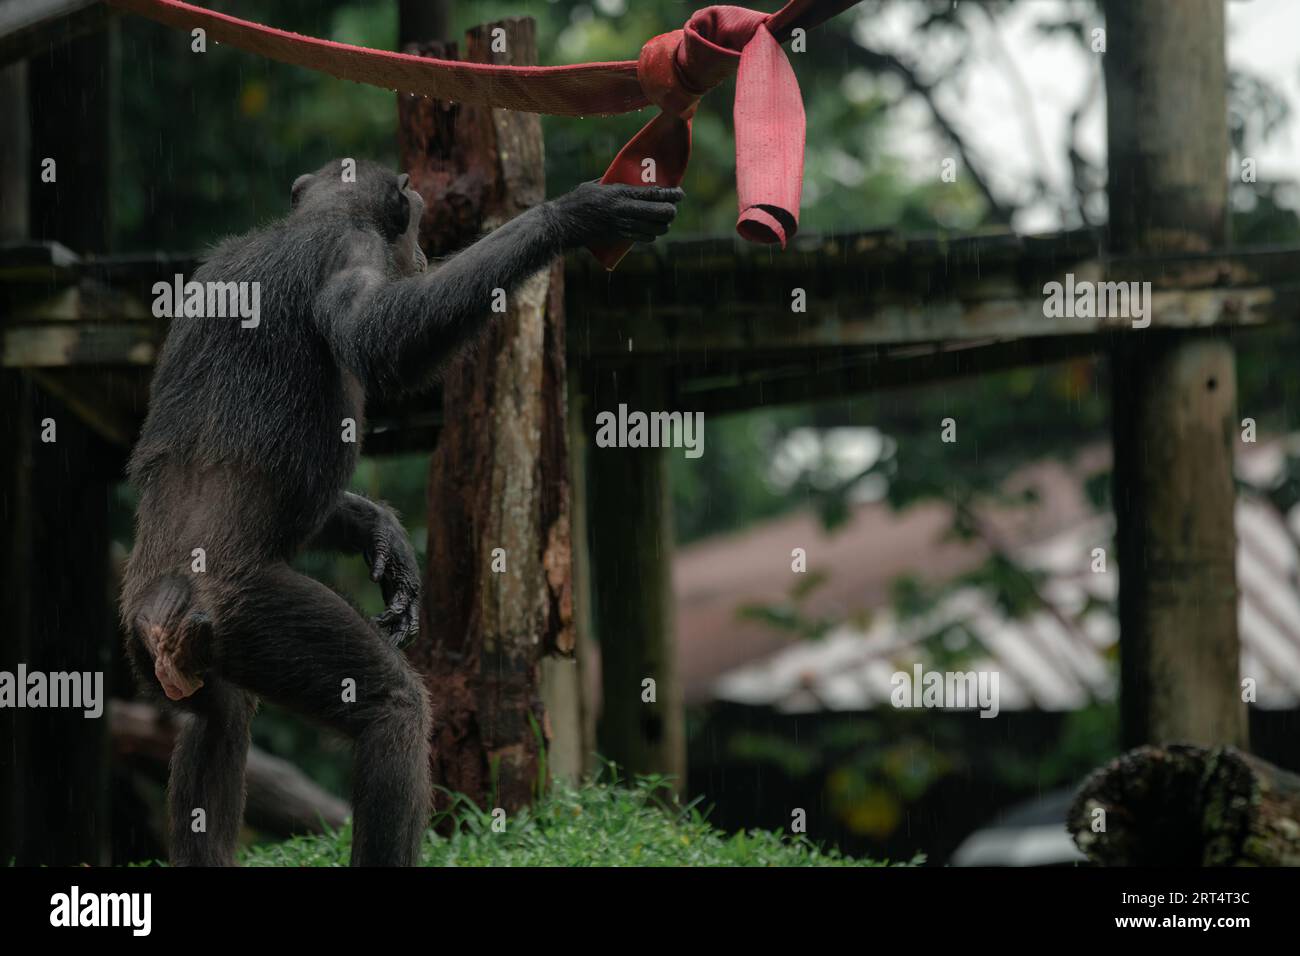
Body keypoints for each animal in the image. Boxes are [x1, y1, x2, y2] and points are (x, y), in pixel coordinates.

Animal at [119, 159, 684, 866]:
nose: (419, 252)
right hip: (250, 610)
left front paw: (384, 538)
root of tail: (156, 606)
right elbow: (379, 333)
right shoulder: (351, 254)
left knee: (217, 717)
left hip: (185, 648)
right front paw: (574, 215)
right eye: (415, 217)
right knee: (390, 710)